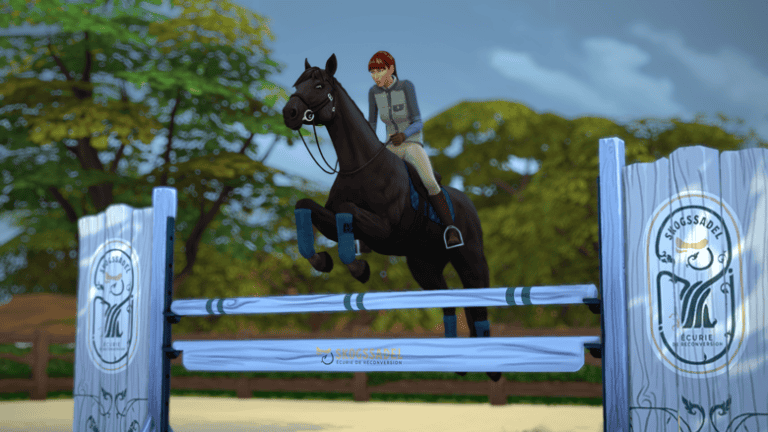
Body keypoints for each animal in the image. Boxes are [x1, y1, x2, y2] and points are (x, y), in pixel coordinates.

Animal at [282, 54, 500, 382]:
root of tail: (469, 204)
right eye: (297, 84)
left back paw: (492, 369)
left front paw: (358, 268)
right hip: (424, 267)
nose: (289, 113)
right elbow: (305, 205)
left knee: (477, 300)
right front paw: (324, 261)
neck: (359, 167)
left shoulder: (383, 229)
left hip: (470, 260)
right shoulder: (334, 220)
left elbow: (348, 211)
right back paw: (460, 365)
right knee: (449, 302)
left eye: (319, 85)